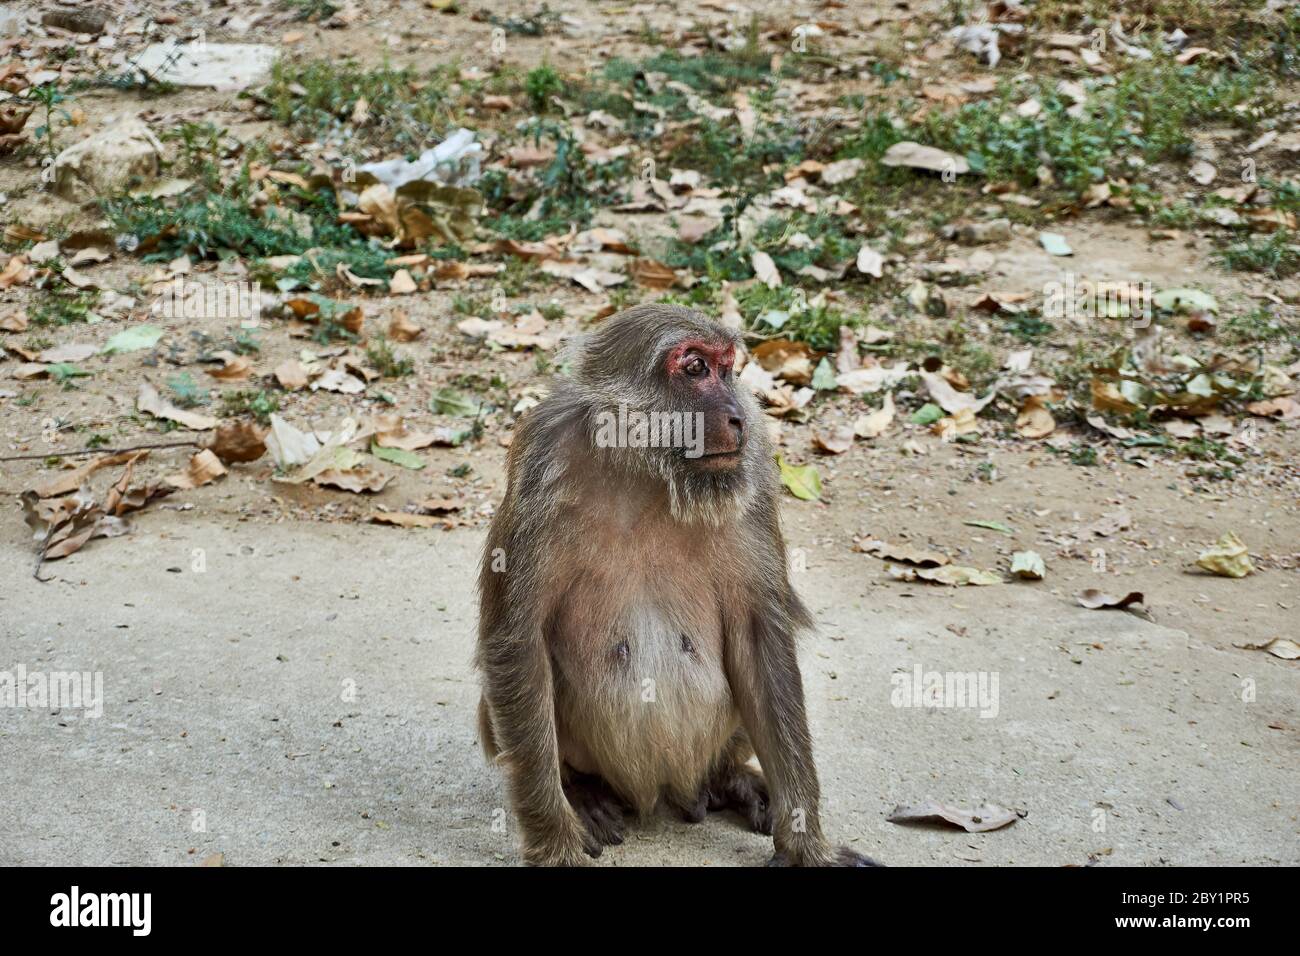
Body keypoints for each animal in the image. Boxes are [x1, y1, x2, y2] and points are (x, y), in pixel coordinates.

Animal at [475, 303, 877, 867]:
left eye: (729, 369)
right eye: (694, 368)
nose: (736, 416)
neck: (643, 469)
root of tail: (662, 791)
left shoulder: (752, 466)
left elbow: (761, 637)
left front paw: (806, 845)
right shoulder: (542, 455)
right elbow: (517, 640)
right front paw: (556, 845)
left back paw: (728, 779)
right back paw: (584, 793)